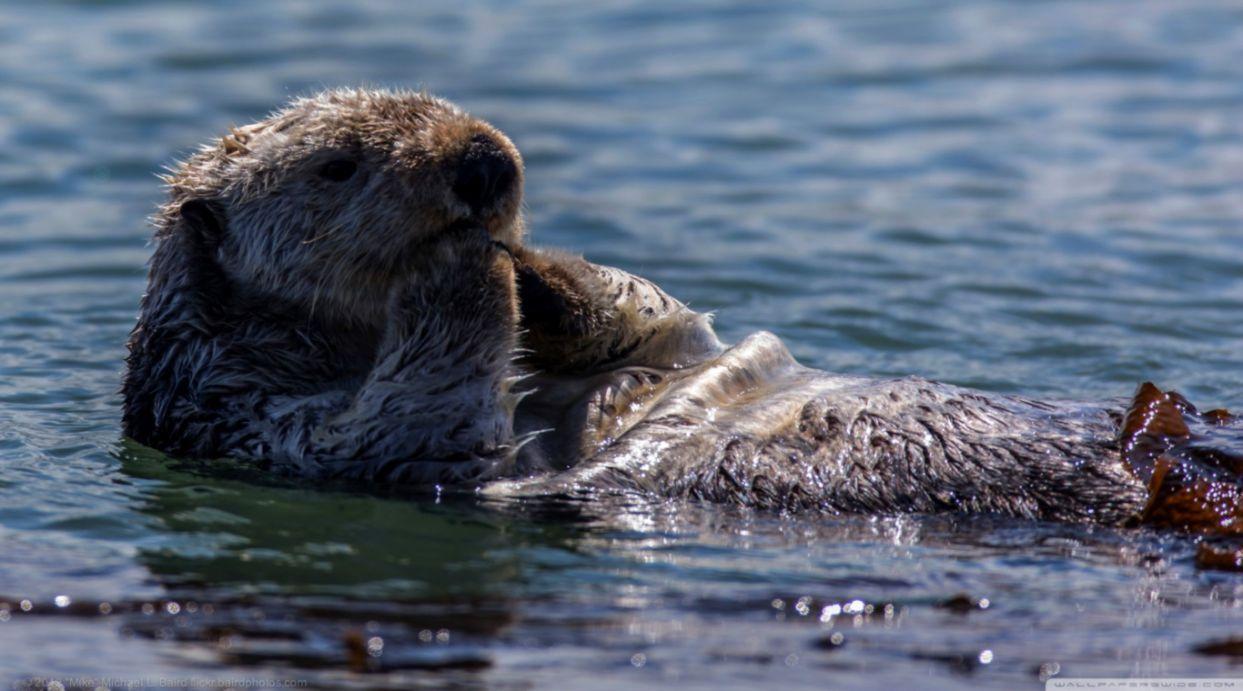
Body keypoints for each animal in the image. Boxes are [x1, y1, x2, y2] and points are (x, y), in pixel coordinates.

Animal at [124, 88, 1243, 532]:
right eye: (339, 164)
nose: (483, 163)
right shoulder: (252, 419)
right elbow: (415, 417)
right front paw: (457, 263)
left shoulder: (674, 345)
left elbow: (655, 315)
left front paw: (532, 268)